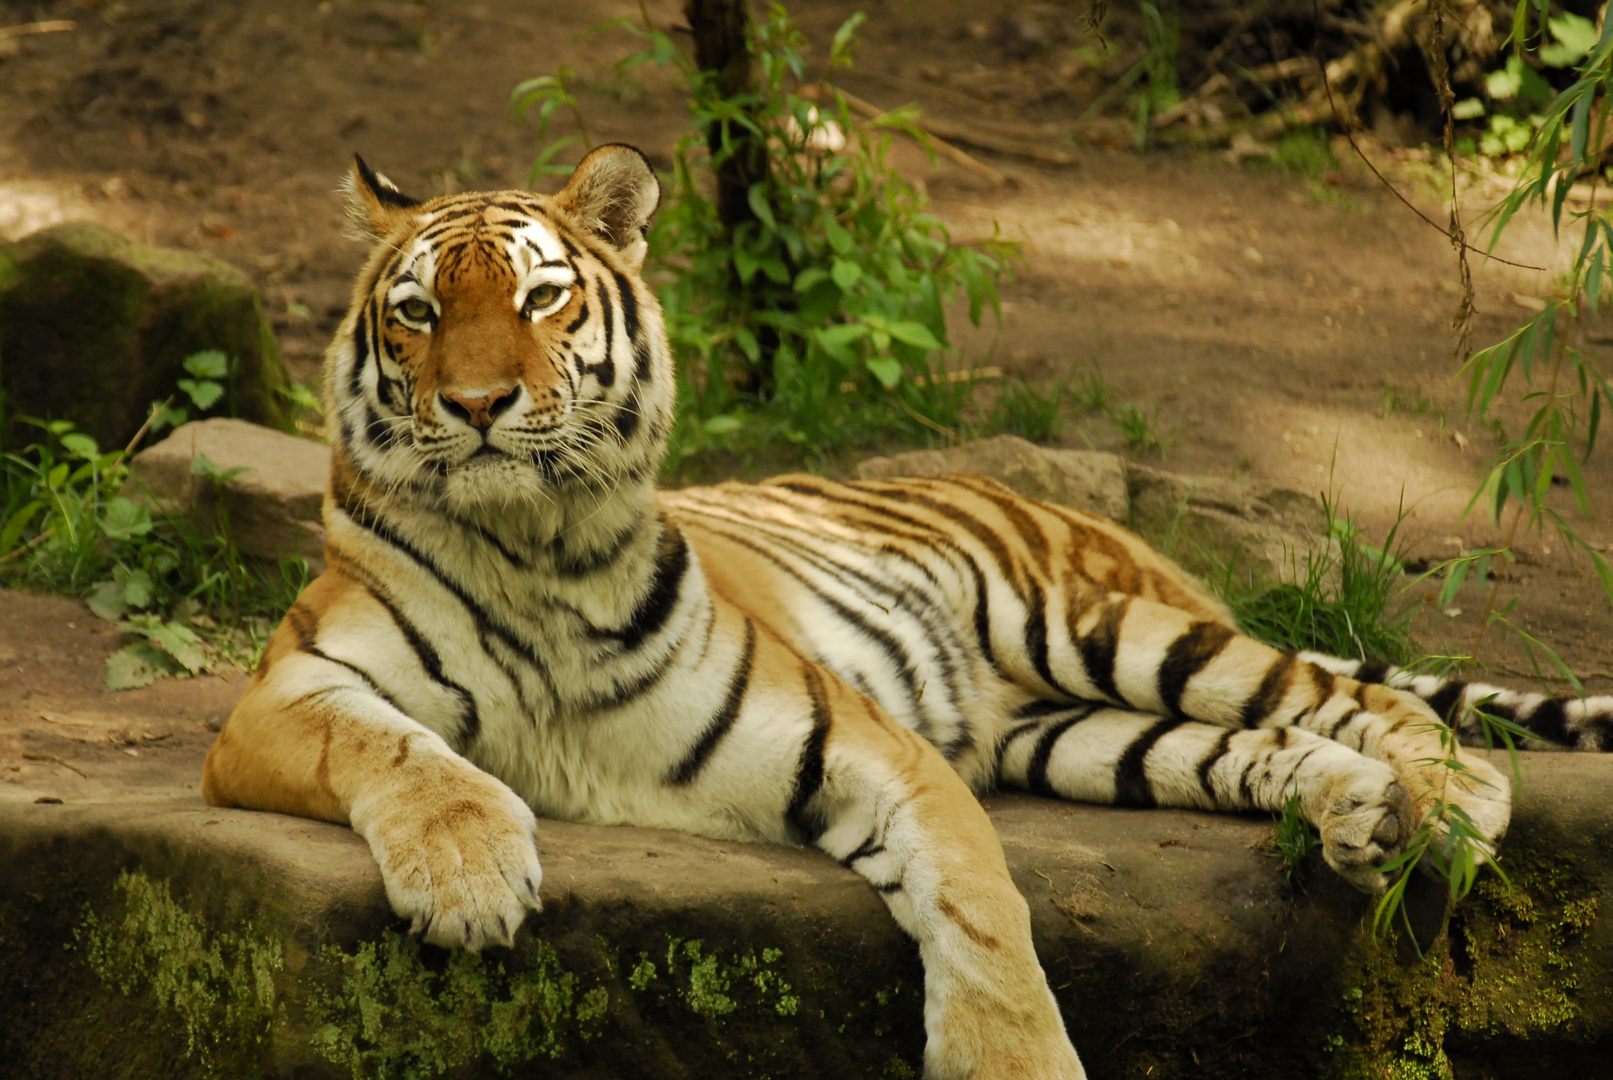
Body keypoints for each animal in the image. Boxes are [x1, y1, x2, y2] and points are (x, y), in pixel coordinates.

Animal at [200, 144, 1613, 1080]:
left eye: (542, 298)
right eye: (418, 311)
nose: (479, 403)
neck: (537, 548)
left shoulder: (873, 746)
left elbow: (984, 914)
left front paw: (1007, 1059)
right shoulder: (280, 698)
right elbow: (396, 749)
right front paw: (470, 875)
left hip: (1100, 629)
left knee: (1341, 690)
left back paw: (1453, 807)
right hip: (1070, 735)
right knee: (1258, 743)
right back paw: (1365, 816)